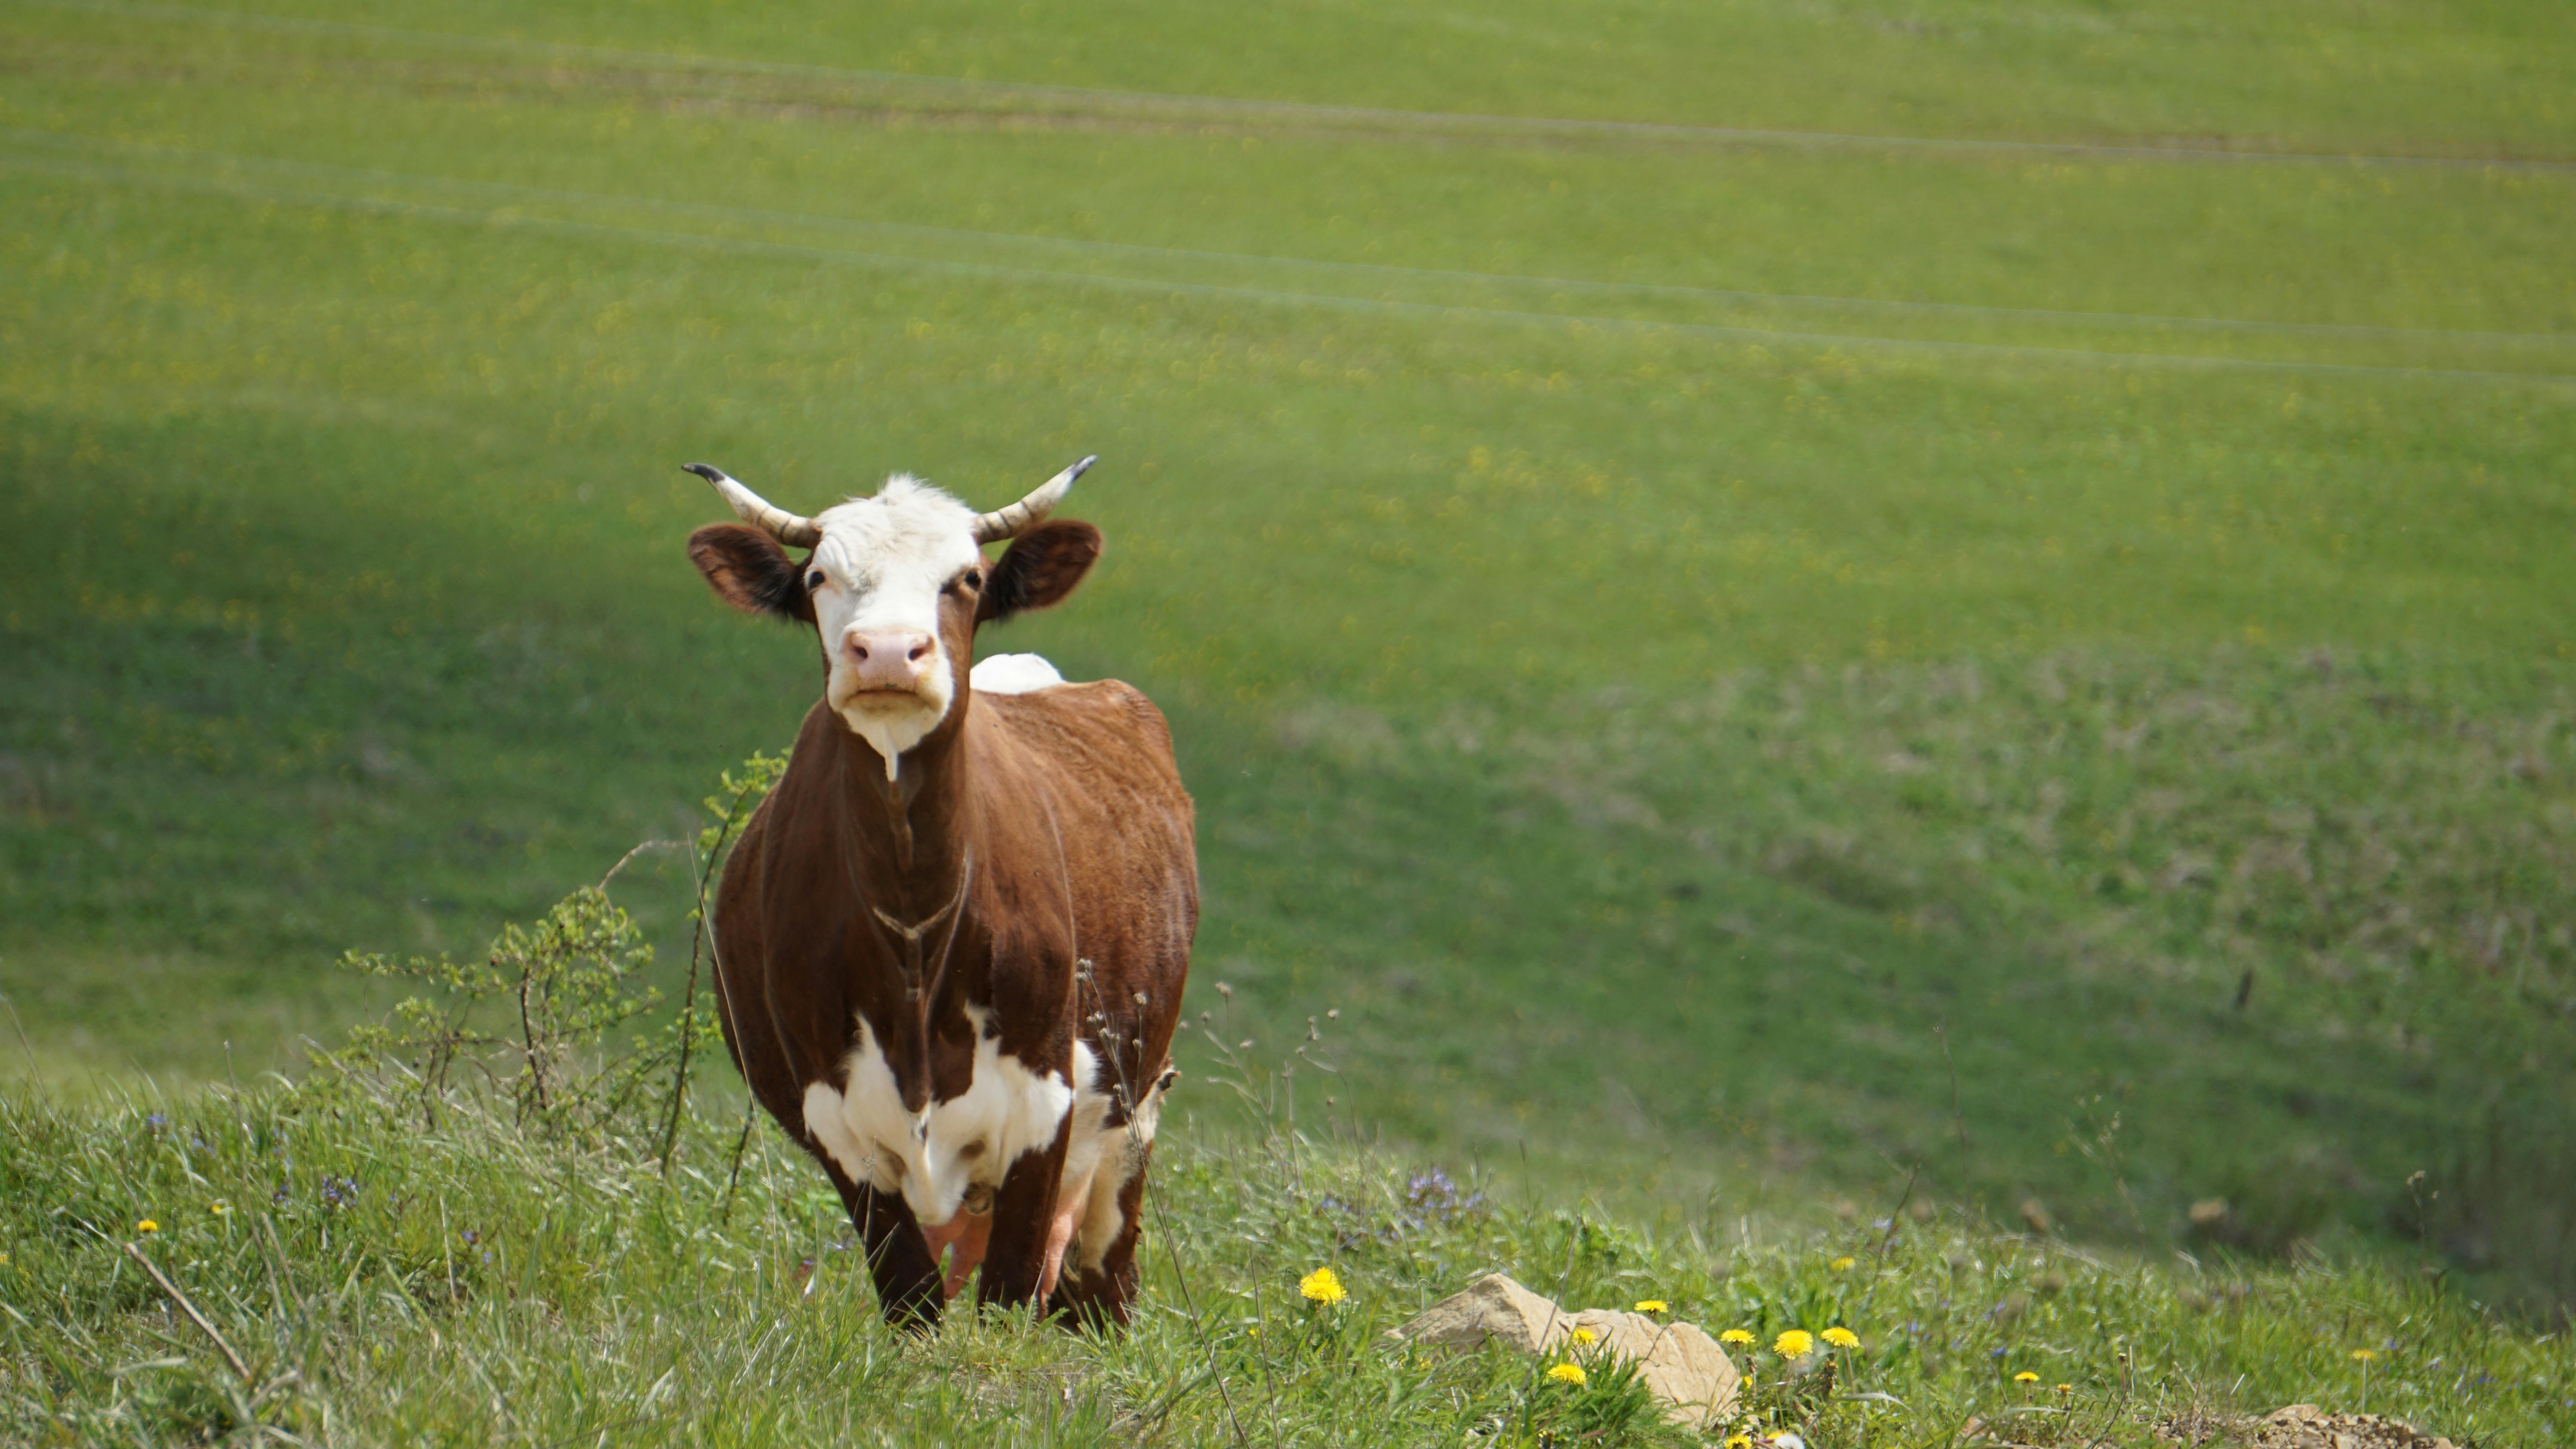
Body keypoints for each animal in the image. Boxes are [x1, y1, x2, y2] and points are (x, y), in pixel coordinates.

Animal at [681, 455, 1195, 1330]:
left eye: (969, 578)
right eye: (818, 576)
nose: (888, 652)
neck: (914, 924)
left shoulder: (1043, 1107)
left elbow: (1007, 1300)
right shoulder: (840, 1126)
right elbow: (914, 1305)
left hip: (1131, 1128)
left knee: (1099, 1288)